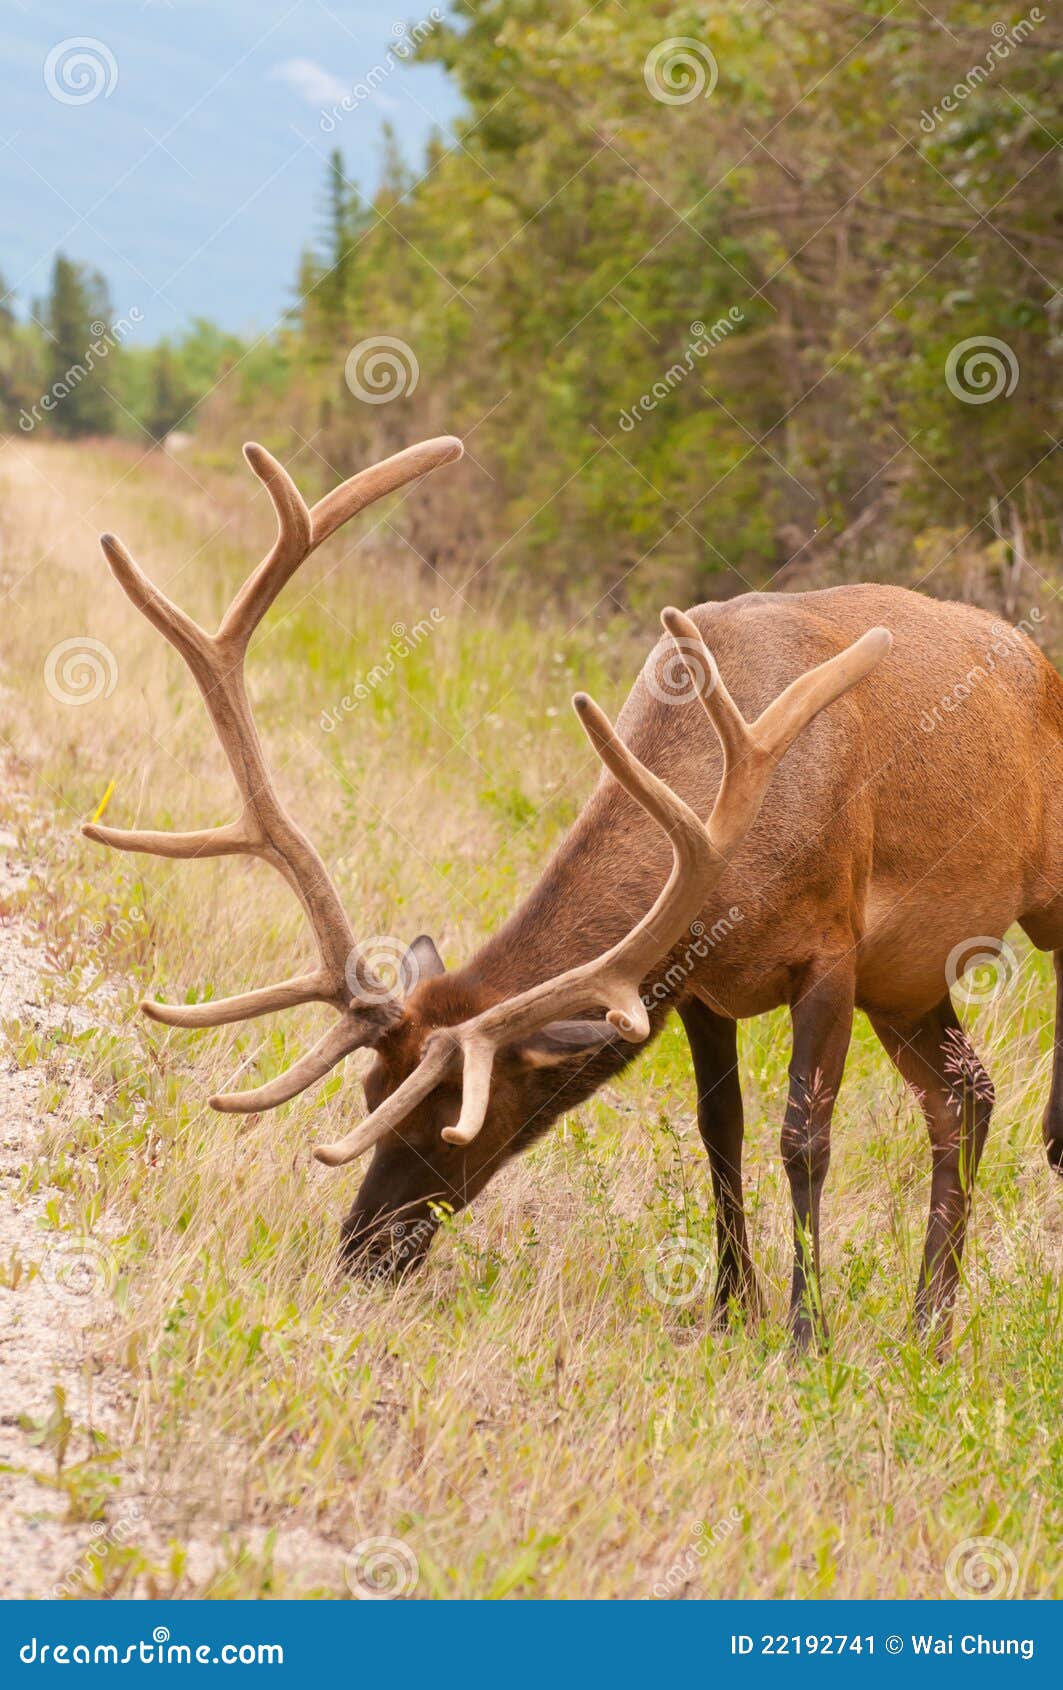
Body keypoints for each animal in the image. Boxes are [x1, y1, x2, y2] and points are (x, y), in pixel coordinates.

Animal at [84, 434, 1063, 1351]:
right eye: (369, 1095)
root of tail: (1034, 655)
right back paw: (928, 1325)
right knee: (964, 1099)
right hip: (907, 983)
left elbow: (802, 1139)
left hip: (1019, 903)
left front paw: (800, 1336)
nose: (361, 1252)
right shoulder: (698, 984)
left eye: (459, 1122)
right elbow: (720, 1130)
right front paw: (728, 1309)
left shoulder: (829, 950)